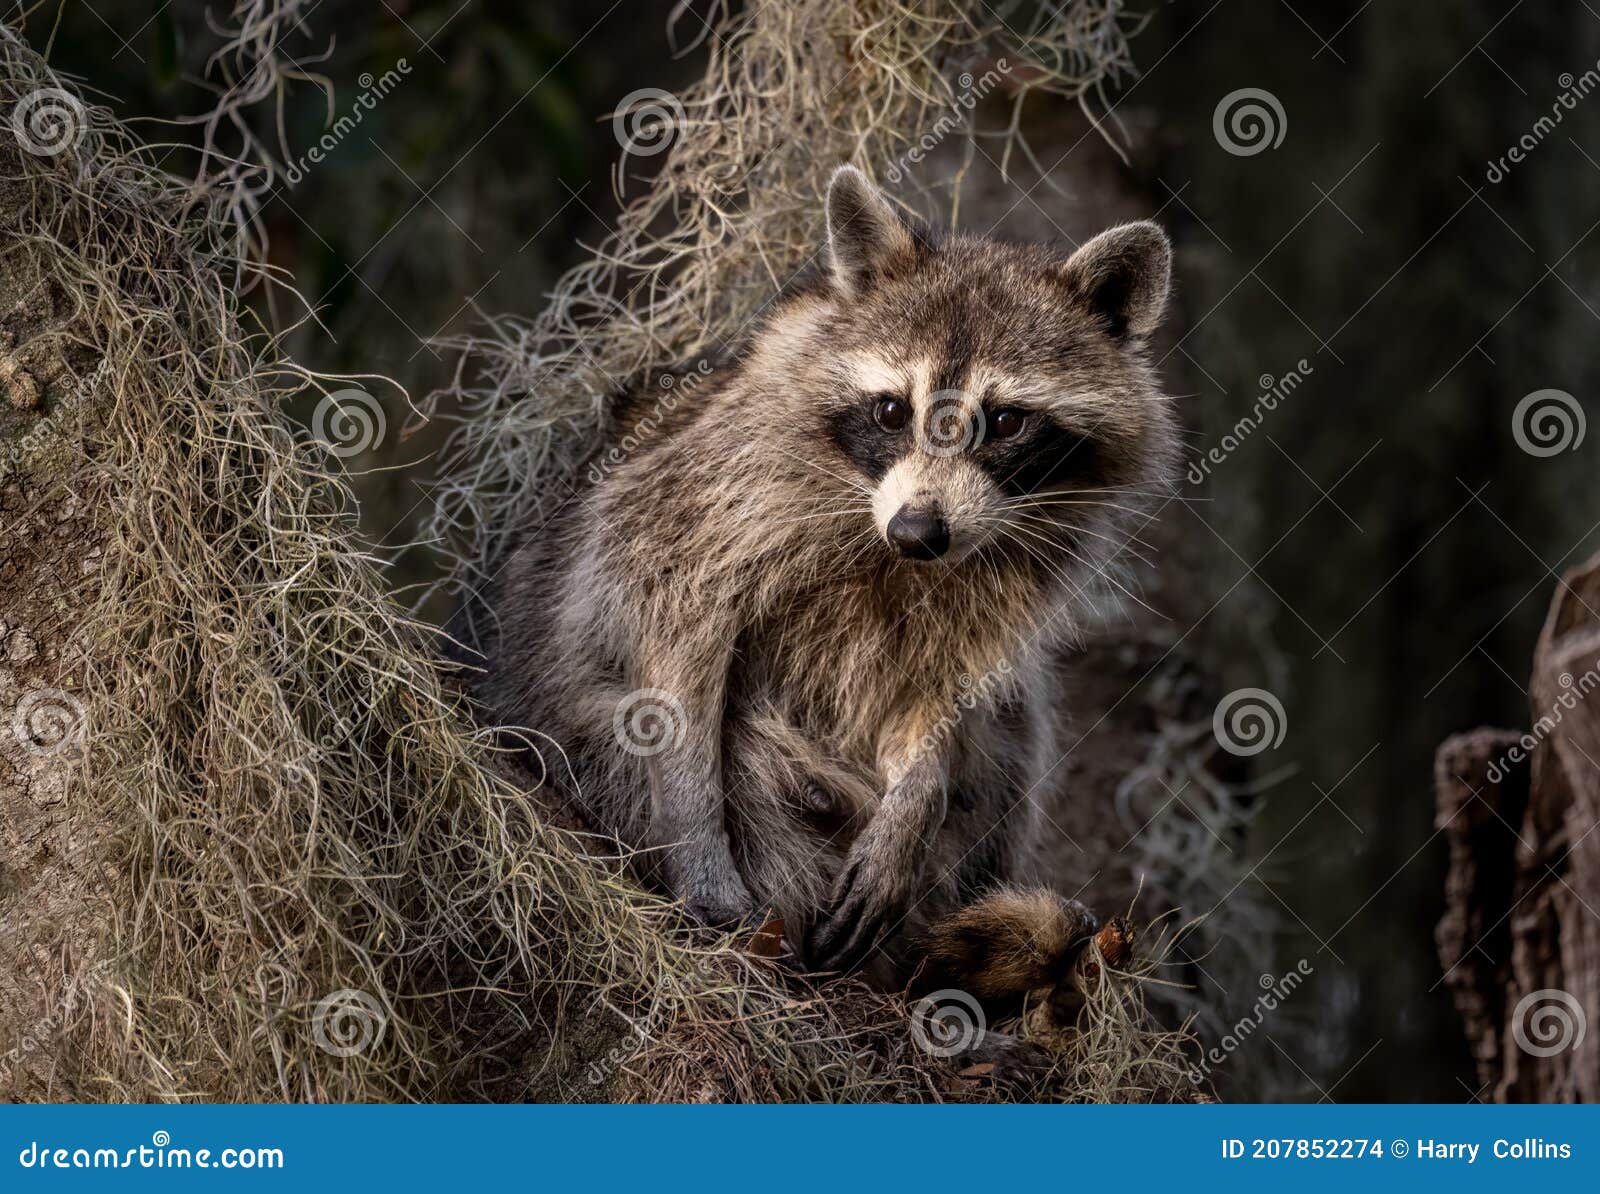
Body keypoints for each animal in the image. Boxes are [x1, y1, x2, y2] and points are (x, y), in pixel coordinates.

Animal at [482, 166, 1176, 986]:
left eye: (1005, 421)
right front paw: (694, 838)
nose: (918, 533)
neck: (888, 546)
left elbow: (942, 695)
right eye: (891, 410)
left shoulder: (998, 585)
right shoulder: (701, 502)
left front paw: (914, 803)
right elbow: (672, 661)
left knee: (1011, 730)